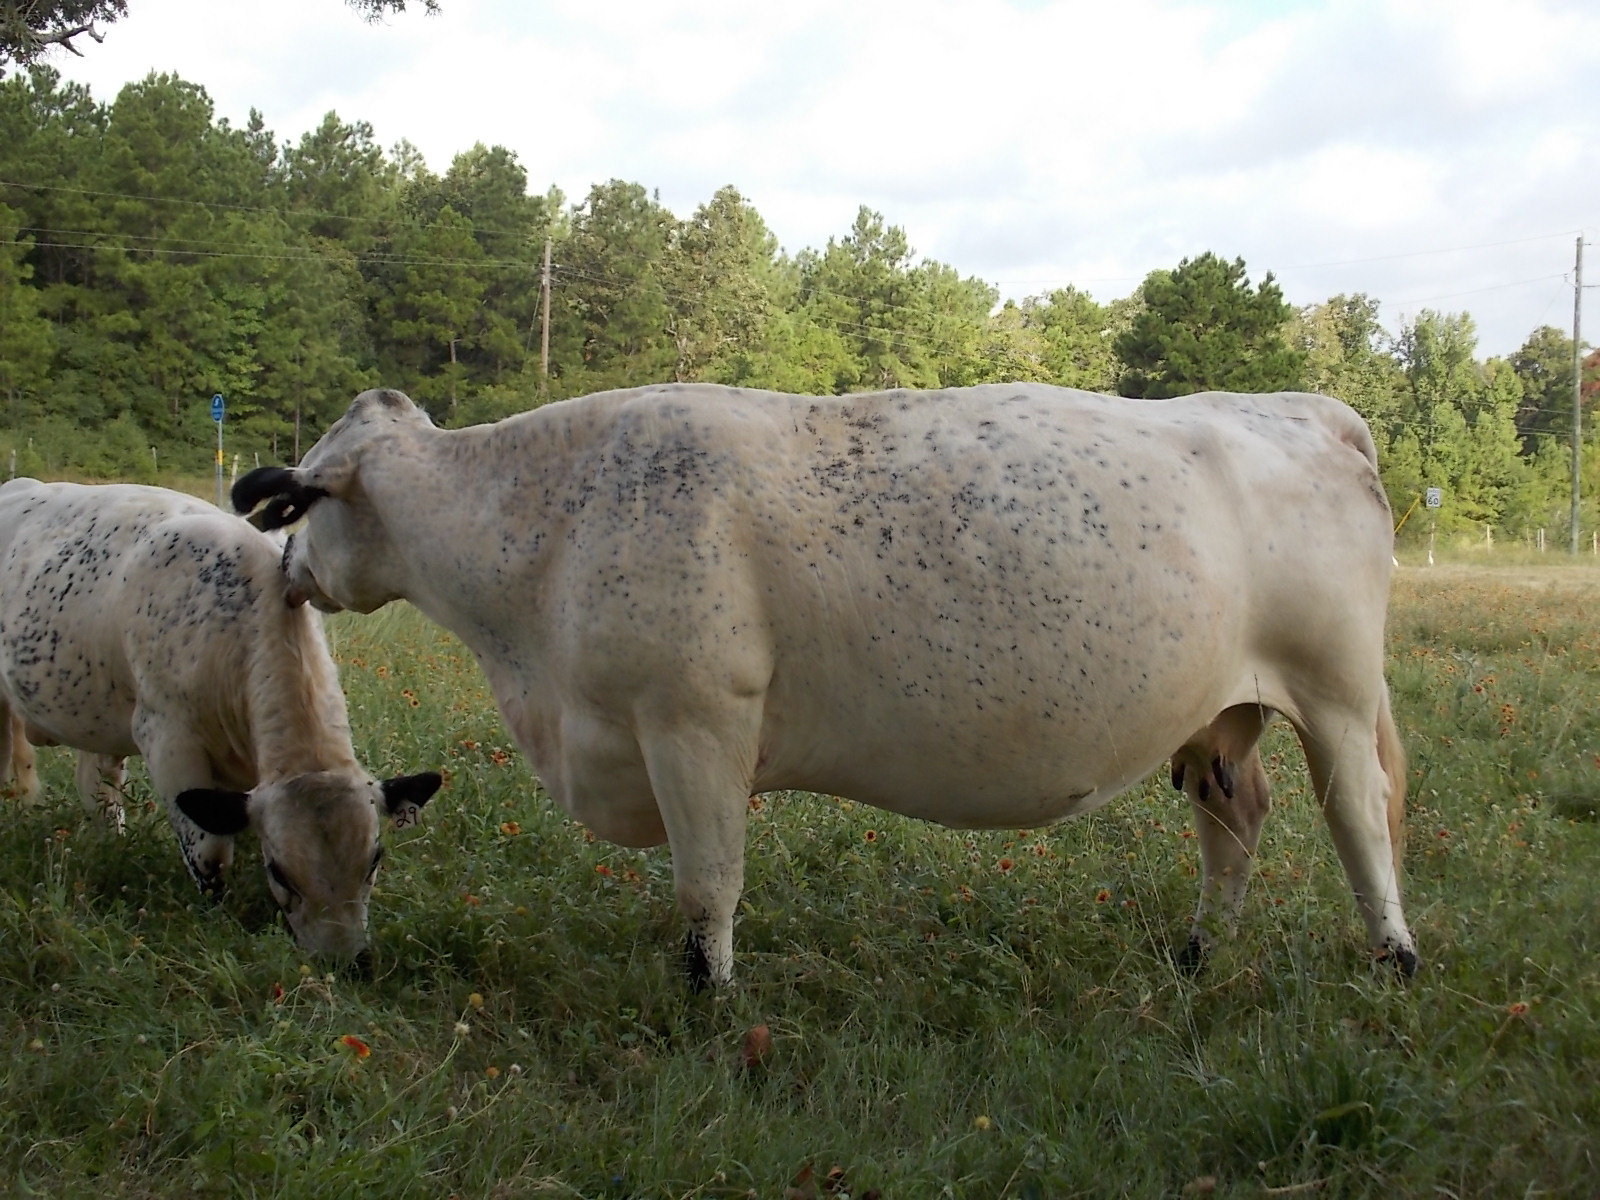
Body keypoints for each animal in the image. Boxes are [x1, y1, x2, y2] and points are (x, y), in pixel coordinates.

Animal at [0, 479, 442, 960]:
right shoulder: (167, 739)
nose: (342, 960)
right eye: (280, 872)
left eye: (374, 860)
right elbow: (211, 853)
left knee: (99, 785)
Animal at [233, 383, 1417, 986]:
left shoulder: (695, 725)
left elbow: (706, 889)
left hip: (1336, 688)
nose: (284, 568)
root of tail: (1303, 404)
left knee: (1357, 816)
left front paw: (707, 1005)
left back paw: (1393, 955)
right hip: (1219, 711)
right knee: (1235, 817)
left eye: (302, 506)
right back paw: (1199, 951)